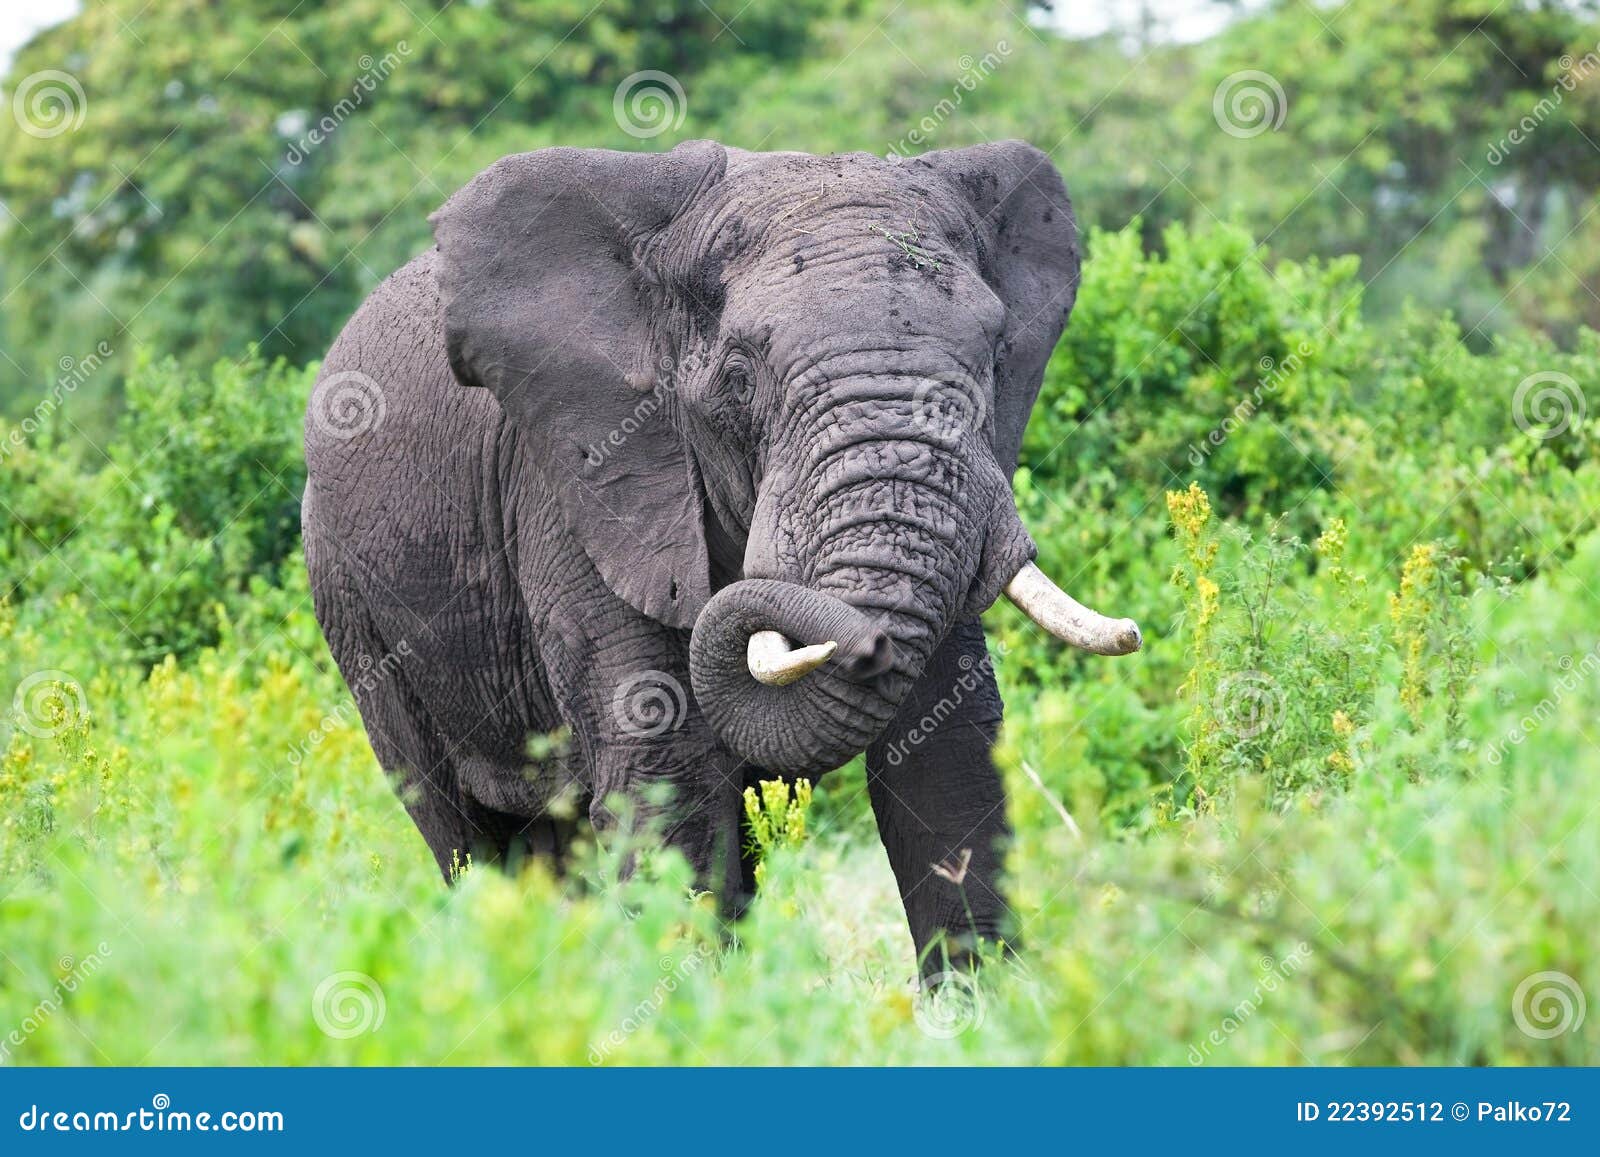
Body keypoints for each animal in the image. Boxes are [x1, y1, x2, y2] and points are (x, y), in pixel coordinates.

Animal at [301, 139, 1140, 970]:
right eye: (739, 378)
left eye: (996, 356)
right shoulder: (579, 487)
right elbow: (668, 769)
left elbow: (950, 751)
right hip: (349, 599)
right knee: (468, 836)